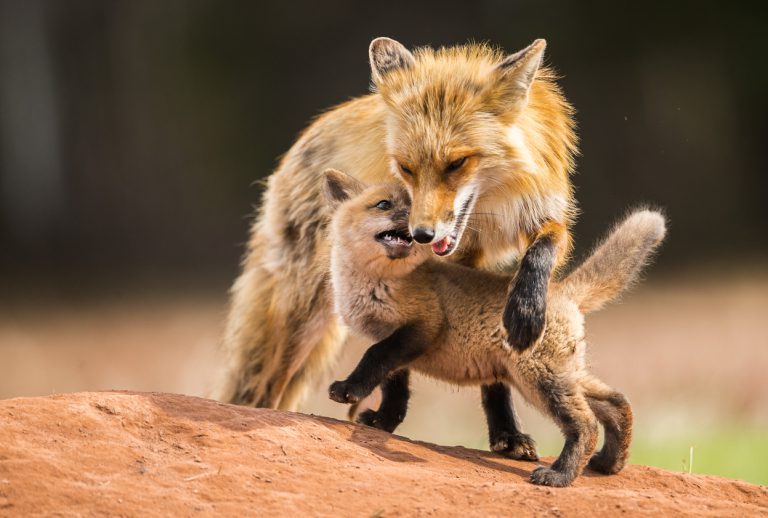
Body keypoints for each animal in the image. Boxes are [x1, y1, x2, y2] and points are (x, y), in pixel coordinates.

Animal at [216, 37, 578, 457]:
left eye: (456, 163)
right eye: (406, 168)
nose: (421, 234)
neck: (492, 211)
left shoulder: (538, 216)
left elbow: (544, 249)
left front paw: (525, 313)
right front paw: (389, 412)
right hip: (302, 315)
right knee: (268, 386)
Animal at [322, 170, 667, 487]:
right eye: (384, 204)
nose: (423, 227)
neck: (378, 283)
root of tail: (561, 289)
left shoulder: (423, 326)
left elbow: (373, 357)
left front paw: (349, 389)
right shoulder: (396, 345)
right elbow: (394, 395)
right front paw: (381, 422)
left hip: (538, 379)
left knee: (586, 423)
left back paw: (559, 475)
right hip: (555, 374)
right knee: (616, 401)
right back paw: (610, 463)